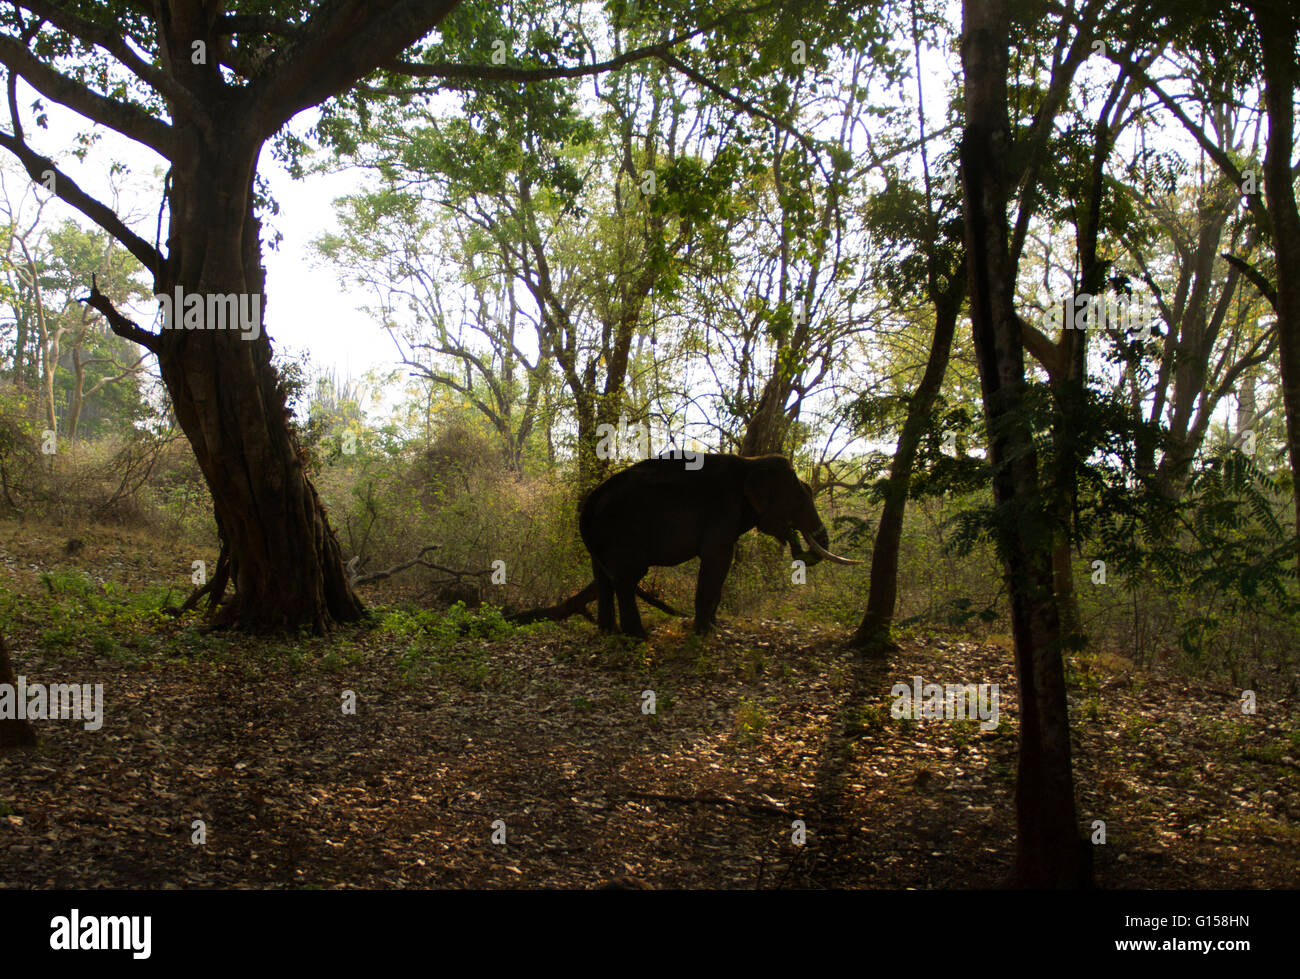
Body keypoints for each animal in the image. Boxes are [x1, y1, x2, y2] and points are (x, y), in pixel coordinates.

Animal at [579, 452, 860, 637]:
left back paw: (608, 631)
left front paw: (715, 626)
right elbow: (718, 559)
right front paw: (703, 633)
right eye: (802, 498)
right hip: (624, 530)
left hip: (603, 537)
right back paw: (639, 637)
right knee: (627, 578)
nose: (793, 536)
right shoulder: (722, 511)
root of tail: (593, 498)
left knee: (603, 577)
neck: (752, 462)